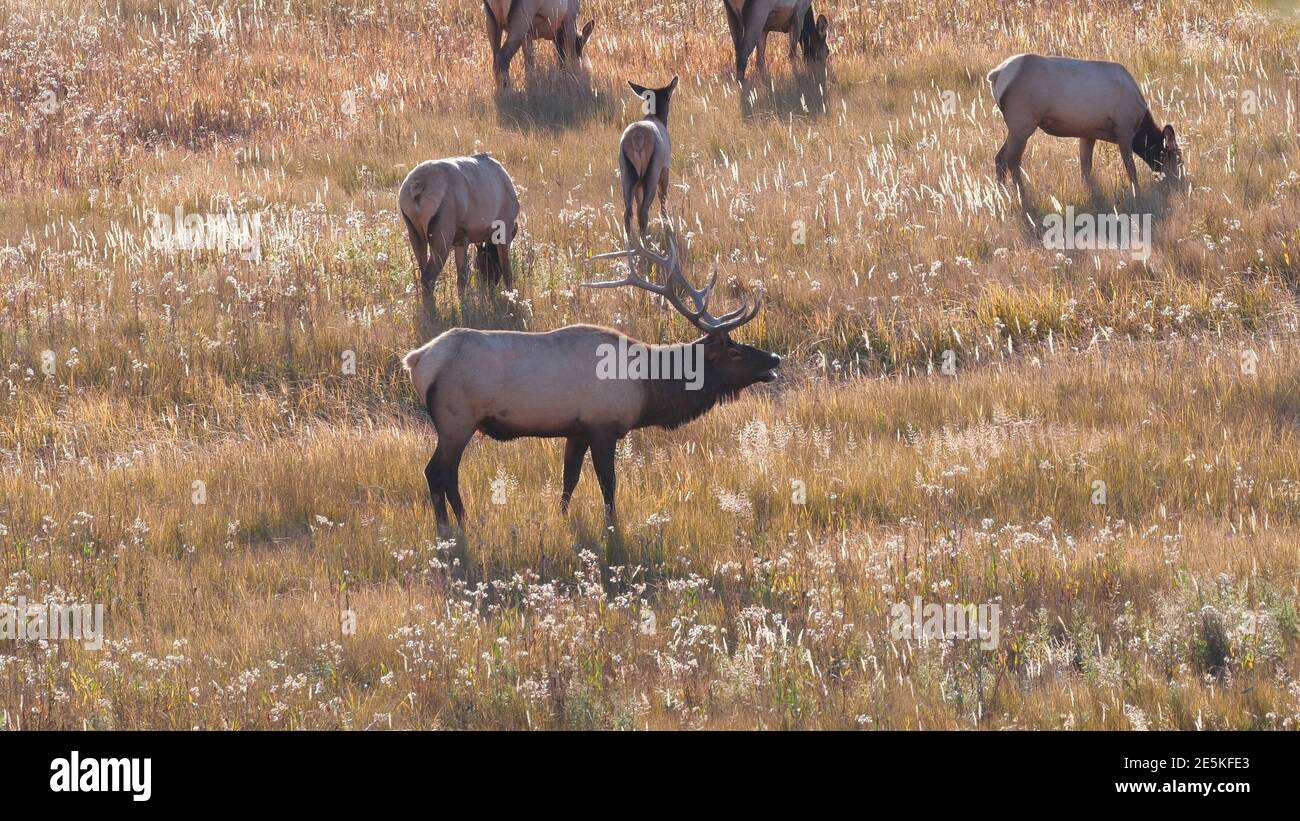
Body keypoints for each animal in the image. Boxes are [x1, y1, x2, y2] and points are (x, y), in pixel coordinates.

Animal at [398, 154, 519, 302]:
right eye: (488, 262)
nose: (488, 285)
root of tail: (417, 186)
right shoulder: (504, 230)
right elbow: (507, 270)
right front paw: (512, 297)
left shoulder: (461, 240)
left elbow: (462, 277)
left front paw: (464, 302)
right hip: (442, 237)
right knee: (428, 278)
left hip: (415, 234)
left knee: (422, 271)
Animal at [402, 229, 781, 530]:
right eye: (733, 352)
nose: (774, 358)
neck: (647, 389)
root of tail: (416, 359)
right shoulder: (603, 426)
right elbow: (608, 484)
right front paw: (612, 527)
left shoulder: (577, 429)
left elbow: (568, 479)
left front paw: (562, 518)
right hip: (456, 419)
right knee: (436, 472)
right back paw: (453, 525)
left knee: (446, 474)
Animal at [620, 76, 678, 241]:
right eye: (668, 96)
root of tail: (637, 138)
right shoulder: (665, 169)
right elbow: (663, 198)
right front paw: (666, 222)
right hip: (652, 174)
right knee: (643, 211)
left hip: (628, 175)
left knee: (628, 212)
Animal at [987, 53, 1183, 197]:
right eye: (1175, 158)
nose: (1178, 182)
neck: (1140, 125)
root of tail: (995, 74)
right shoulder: (1124, 130)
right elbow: (1131, 168)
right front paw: (1138, 192)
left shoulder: (1088, 134)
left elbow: (1086, 168)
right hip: (1023, 124)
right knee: (1011, 159)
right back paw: (1020, 193)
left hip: (1018, 128)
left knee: (1001, 158)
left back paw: (1002, 193)